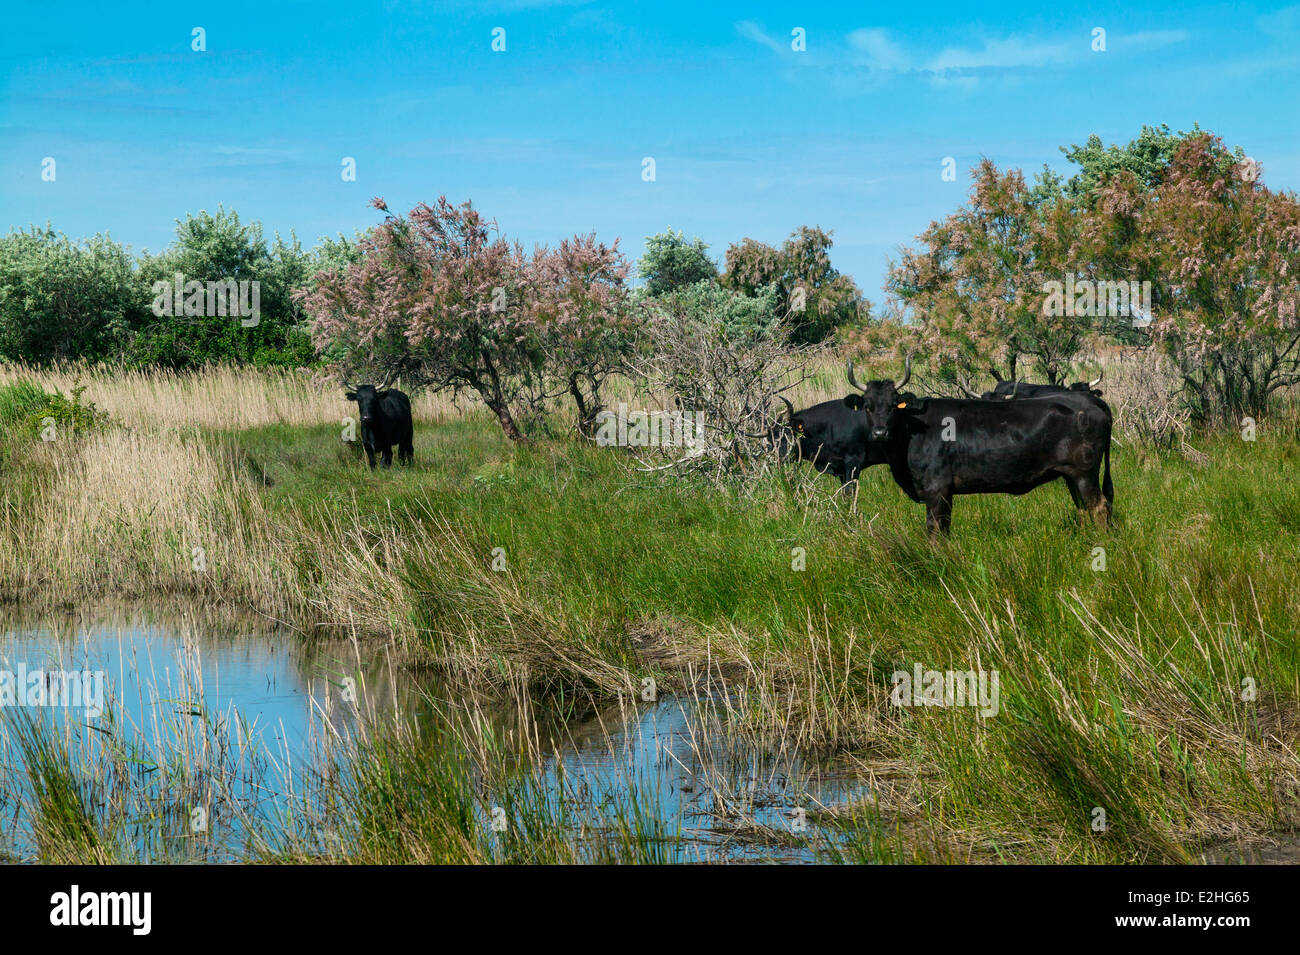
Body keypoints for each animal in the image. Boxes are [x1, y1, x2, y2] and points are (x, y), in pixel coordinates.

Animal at [847, 358, 1113, 537]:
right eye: (867, 406)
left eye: (893, 405)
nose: (880, 433)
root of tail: (1088, 399)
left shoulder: (937, 489)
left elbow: (934, 530)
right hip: (1070, 475)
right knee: (1083, 509)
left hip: (1084, 473)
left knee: (1099, 507)